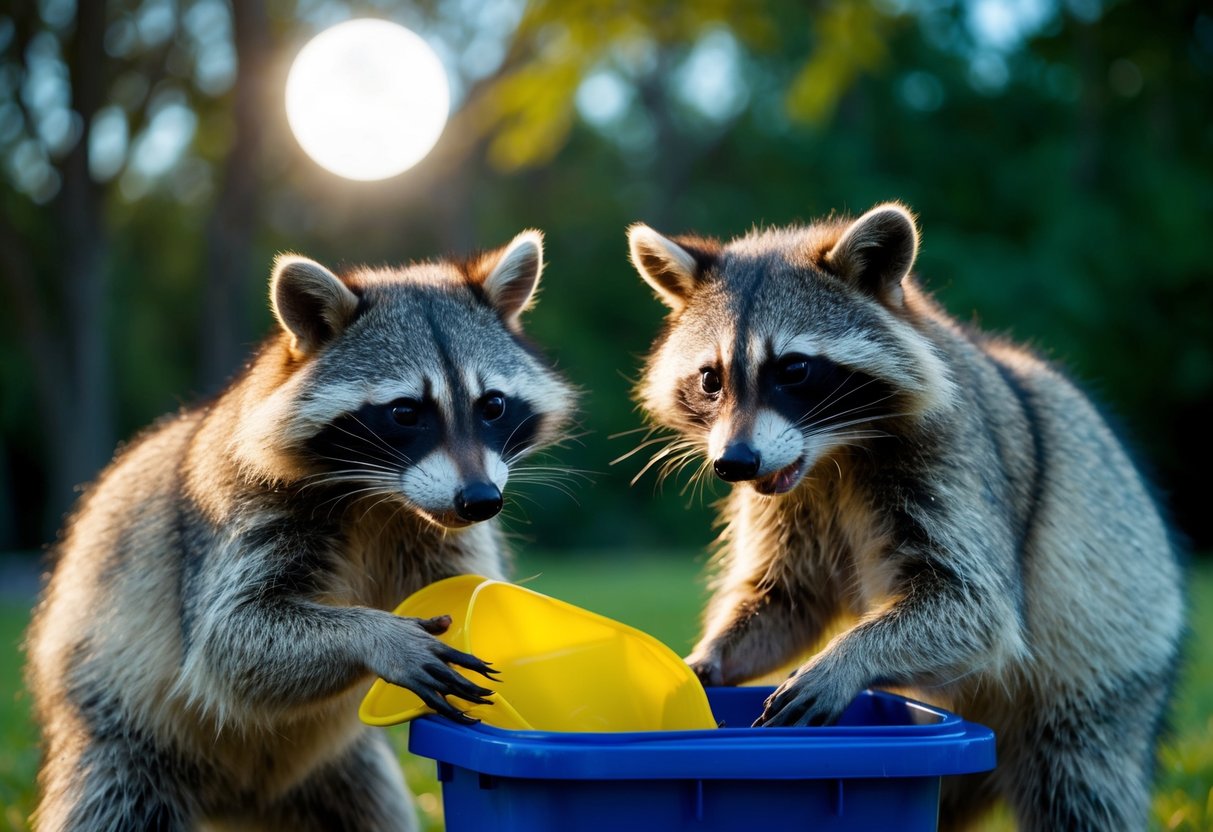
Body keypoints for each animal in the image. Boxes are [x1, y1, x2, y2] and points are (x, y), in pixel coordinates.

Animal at [25, 230, 575, 831]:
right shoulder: (241, 512)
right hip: (117, 734)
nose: (480, 501)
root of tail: (237, 802)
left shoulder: (441, 532)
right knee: (115, 801)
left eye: (492, 405)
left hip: (337, 779)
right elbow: (230, 638)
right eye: (406, 412)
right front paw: (375, 635)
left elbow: (468, 590)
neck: (383, 498)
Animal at [626, 204, 1184, 831]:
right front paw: (708, 659)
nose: (733, 464)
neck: (832, 454)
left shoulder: (953, 457)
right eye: (711, 378)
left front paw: (848, 657)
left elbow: (975, 605)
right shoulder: (789, 503)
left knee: (1082, 784)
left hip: (1108, 668)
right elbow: (786, 600)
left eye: (793, 369)